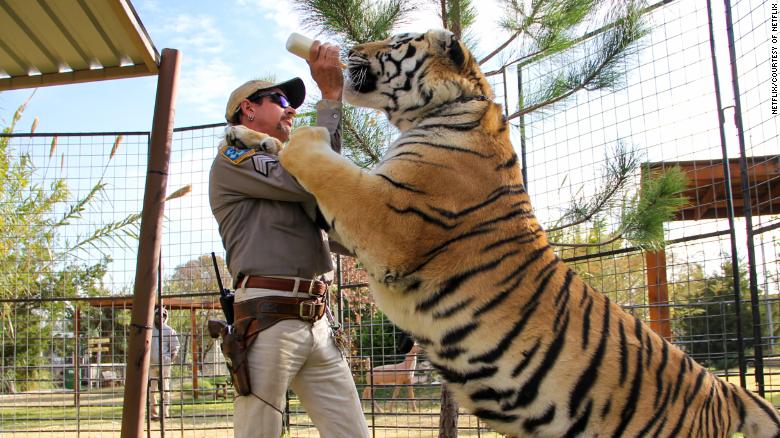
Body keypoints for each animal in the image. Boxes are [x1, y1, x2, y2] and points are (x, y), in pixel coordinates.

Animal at [271, 29, 780, 437]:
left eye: (395, 43)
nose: (349, 50)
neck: (446, 107)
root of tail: (724, 390)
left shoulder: (388, 216)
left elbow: (327, 167)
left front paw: (295, 136)